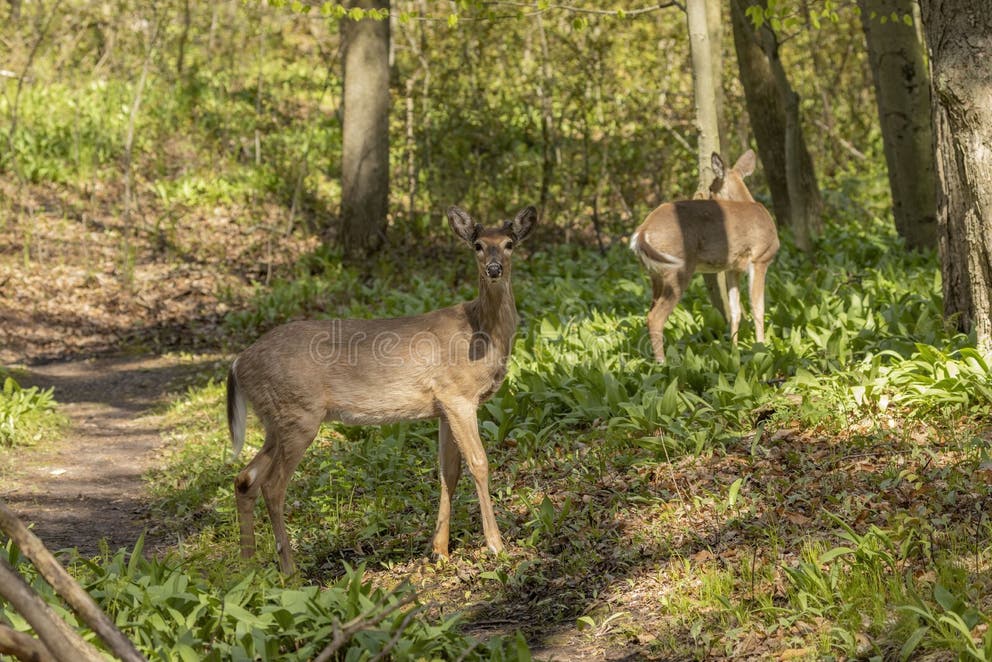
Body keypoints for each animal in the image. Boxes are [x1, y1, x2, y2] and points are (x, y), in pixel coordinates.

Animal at [227, 206, 537, 574]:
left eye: (509, 244)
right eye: (477, 245)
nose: (494, 269)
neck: (482, 332)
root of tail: (237, 364)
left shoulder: (442, 406)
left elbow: (448, 471)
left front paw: (440, 550)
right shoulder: (458, 395)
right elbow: (479, 463)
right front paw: (496, 545)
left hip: (275, 420)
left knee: (245, 478)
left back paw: (248, 567)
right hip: (298, 414)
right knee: (273, 486)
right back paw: (290, 570)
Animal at [629, 150, 780, 362]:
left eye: (711, 186)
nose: (706, 195)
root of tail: (642, 232)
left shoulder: (733, 268)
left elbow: (735, 310)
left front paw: (734, 351)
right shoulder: (760, 258)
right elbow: (758, 307)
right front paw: (762, 349)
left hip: (655, 274)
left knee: (649, 312)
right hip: (678, 269)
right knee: (655, 317)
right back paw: (663, 363)